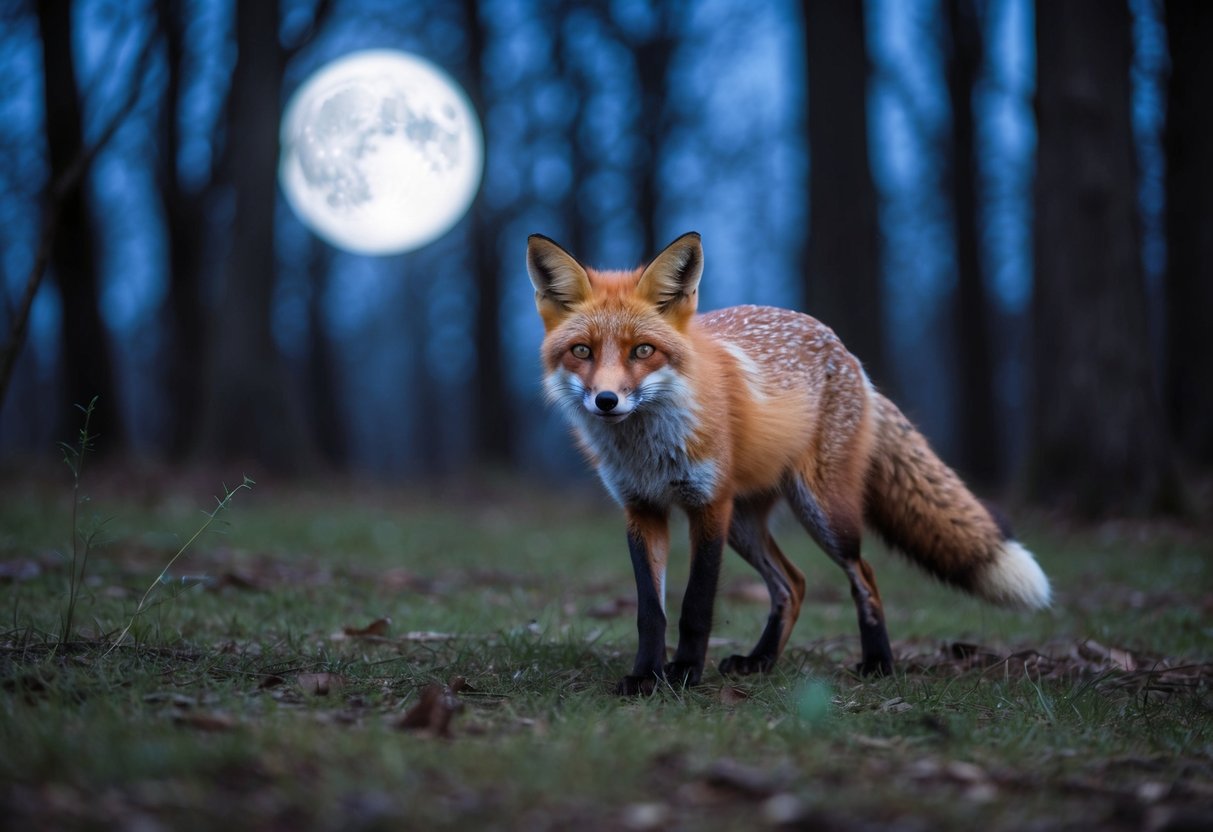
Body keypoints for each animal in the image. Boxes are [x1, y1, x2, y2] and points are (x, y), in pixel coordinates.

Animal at [526, 231, 1051, 695]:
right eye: (581, 351)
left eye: (642, 350)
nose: (606, 401)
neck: (648, 449)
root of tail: (848, 354)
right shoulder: (642, 509)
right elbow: (649, 612)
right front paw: (645, 677)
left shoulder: (708, 506)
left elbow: (696, 605)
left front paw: (685, 674)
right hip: (745, 524)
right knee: (793, 584)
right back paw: (761, 660)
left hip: (822, 514)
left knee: (864, 574)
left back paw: (878, 662)